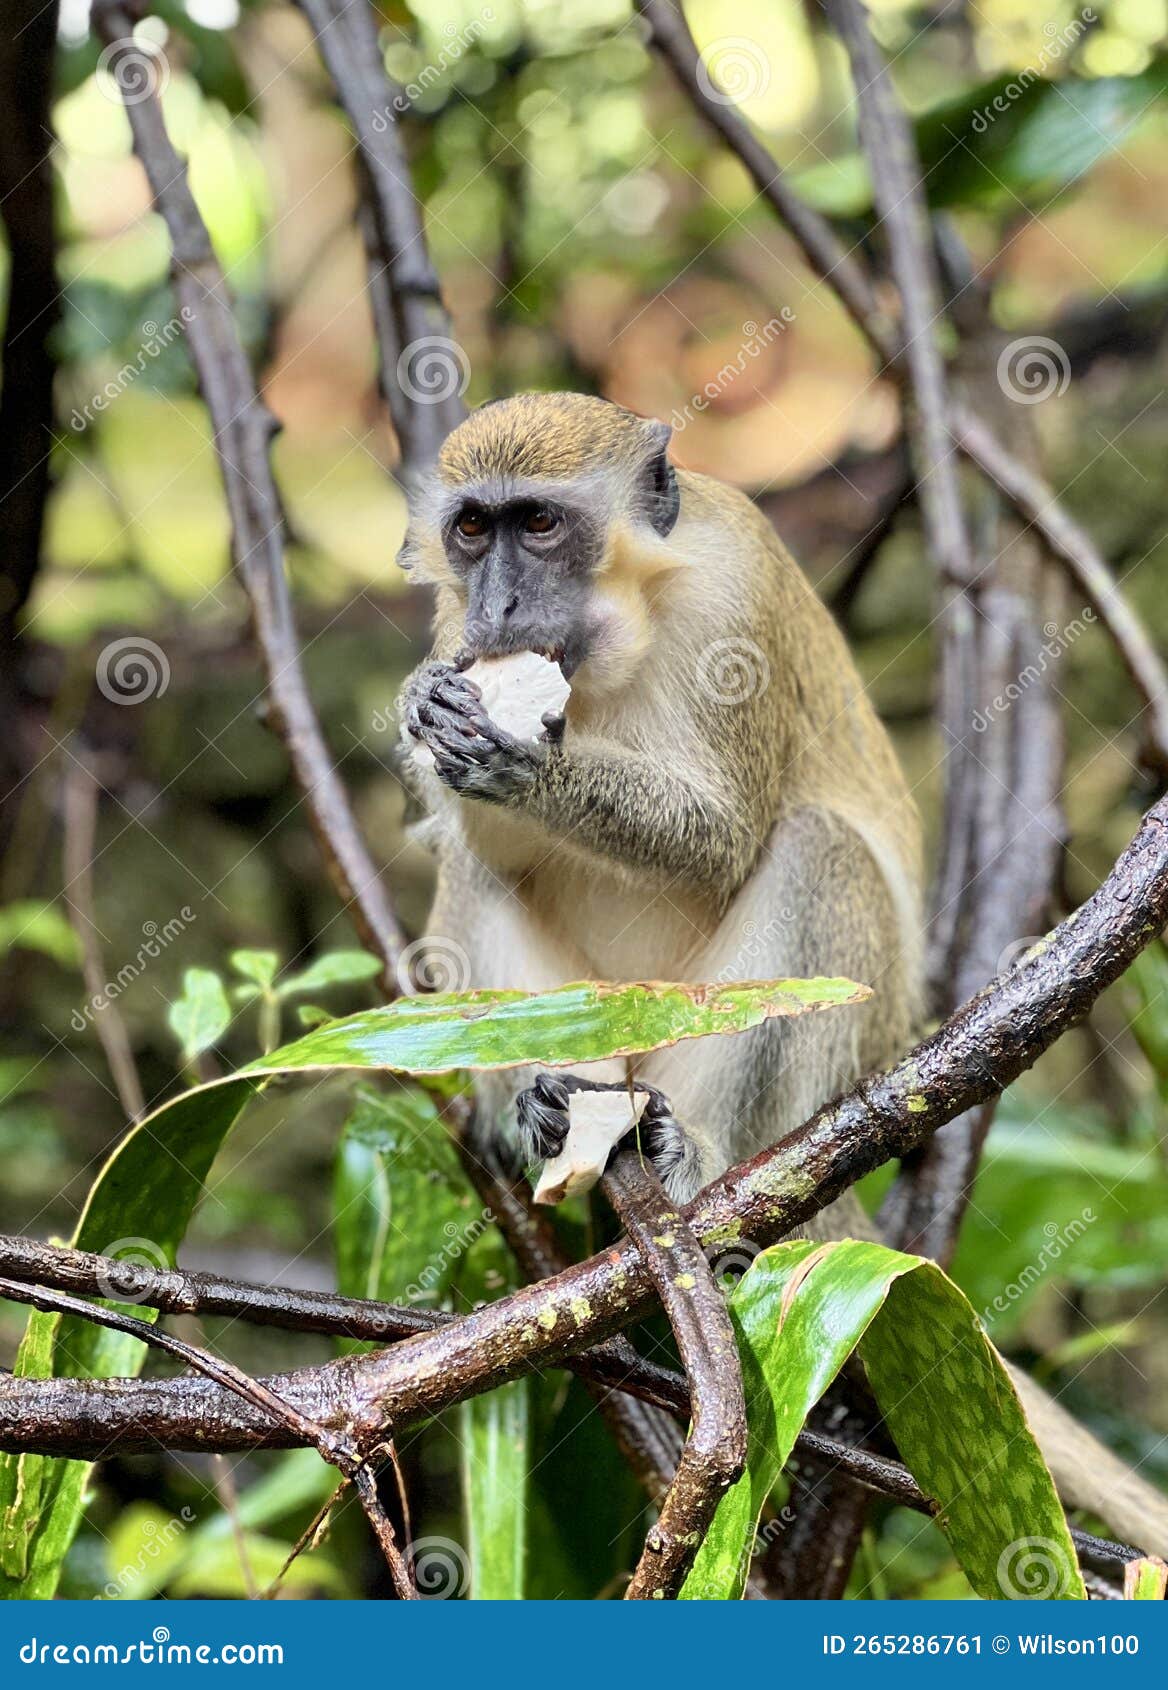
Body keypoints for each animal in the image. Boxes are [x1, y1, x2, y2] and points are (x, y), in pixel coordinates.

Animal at [396, 391, 1168, 1560]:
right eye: (472, 531)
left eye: (538, 524)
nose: (499, 603)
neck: (626, 622)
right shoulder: (455, 636)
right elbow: (476, 839)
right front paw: (433, 724)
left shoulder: (736, 595)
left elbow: (724, 838)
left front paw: (525, 761)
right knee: (483, 872)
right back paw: (542, 1103)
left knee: (816, 848)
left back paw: (701, 1163)